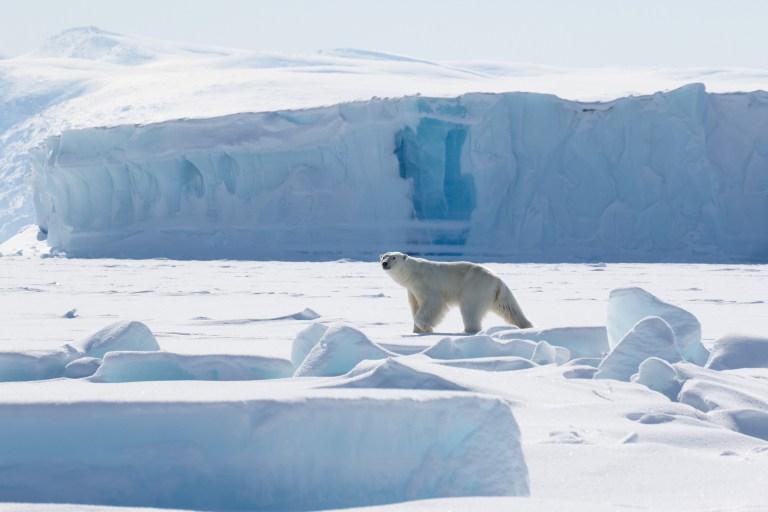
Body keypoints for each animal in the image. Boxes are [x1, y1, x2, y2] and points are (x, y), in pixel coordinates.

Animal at [380, 251, 533, 334]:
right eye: (384, 257)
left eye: (394, 257)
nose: (384, 263)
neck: (413, 272)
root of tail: (497, 280)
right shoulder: (412, 289)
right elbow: (415, 306)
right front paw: (415, 331)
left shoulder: (425, 284)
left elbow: (433, 303)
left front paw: (427, 328)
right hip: (497, 294)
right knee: (509, 308)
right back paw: (526, 325)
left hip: (475, 287)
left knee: (469, 309)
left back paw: (468, 330)